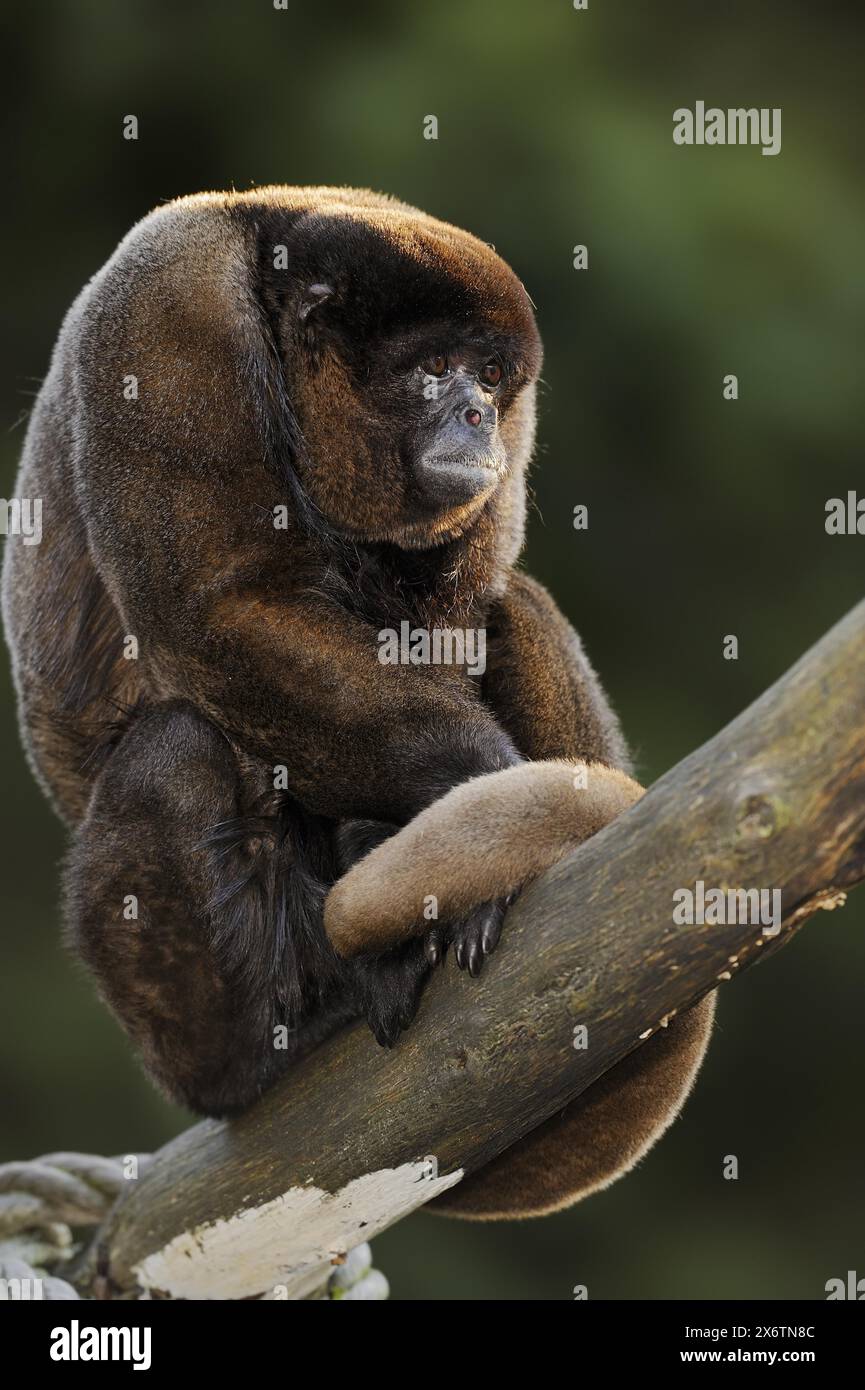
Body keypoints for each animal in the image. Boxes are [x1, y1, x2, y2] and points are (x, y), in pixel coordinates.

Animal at [2, 186, 714, 1219]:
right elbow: (215, 613)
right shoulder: (167, 309)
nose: (477, 414)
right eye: (435, 369)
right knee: (175, 752)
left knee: (513, 606)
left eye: (490, 375)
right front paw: (481, 810)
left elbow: (455, 620)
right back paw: (266, 1049)